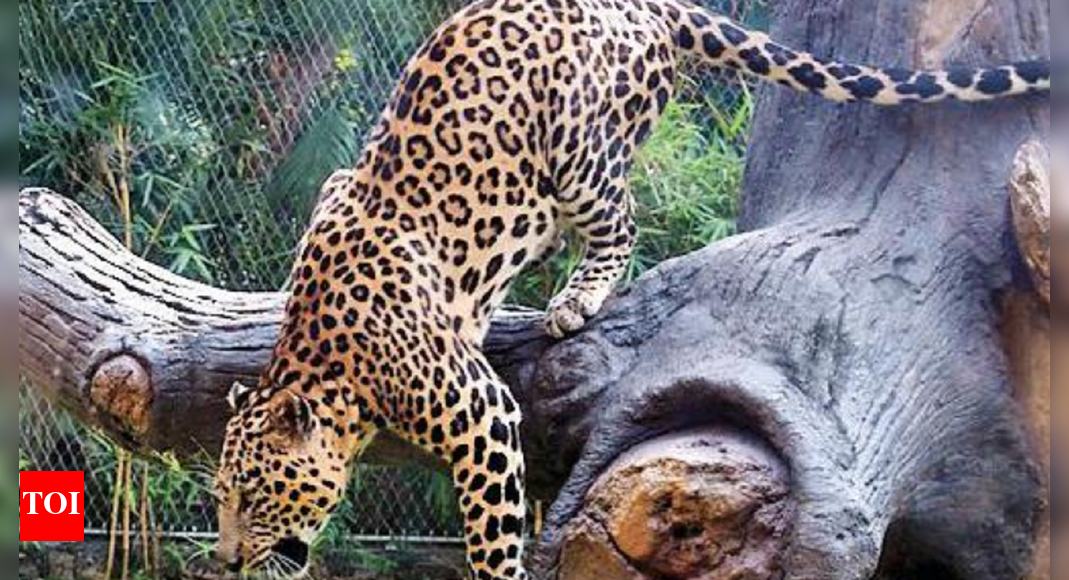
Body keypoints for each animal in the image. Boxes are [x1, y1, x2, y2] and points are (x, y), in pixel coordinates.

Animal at [213, 0, 1048, 578]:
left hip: (575, 150)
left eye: (252, 497)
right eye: (220, 499)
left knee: (619, 218)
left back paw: (574, 300)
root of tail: (635, 5)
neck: (325, 367)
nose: (224, 559)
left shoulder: (479, 414)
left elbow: (491, 526)